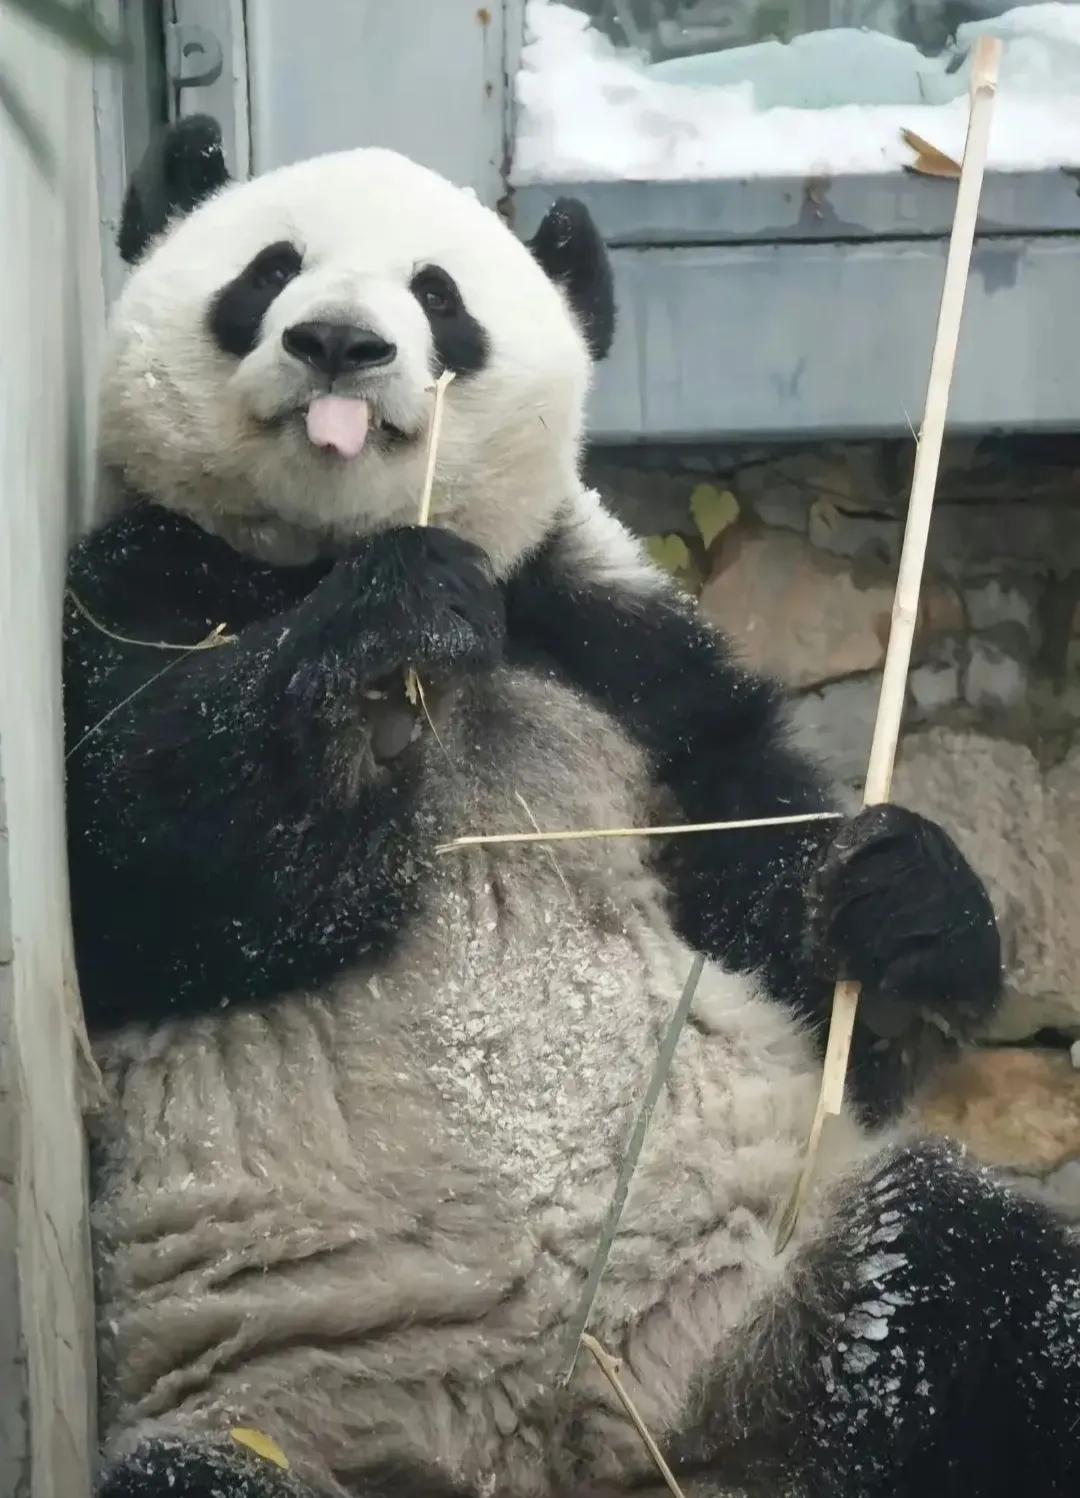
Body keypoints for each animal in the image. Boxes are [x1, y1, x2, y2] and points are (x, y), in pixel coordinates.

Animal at [64, 116, 1079, 1498]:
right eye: (269, 271)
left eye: (440, 296)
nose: (338, 343)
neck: (320, 552)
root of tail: (562, 1445)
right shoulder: (136, 583)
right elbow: (141, 859)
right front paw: (381, 639)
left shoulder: (622, 651)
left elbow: (787, 936)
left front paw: (899, 909)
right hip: (282, 1396)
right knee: (201, 1474)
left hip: (750, 1296)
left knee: (965, 1290)